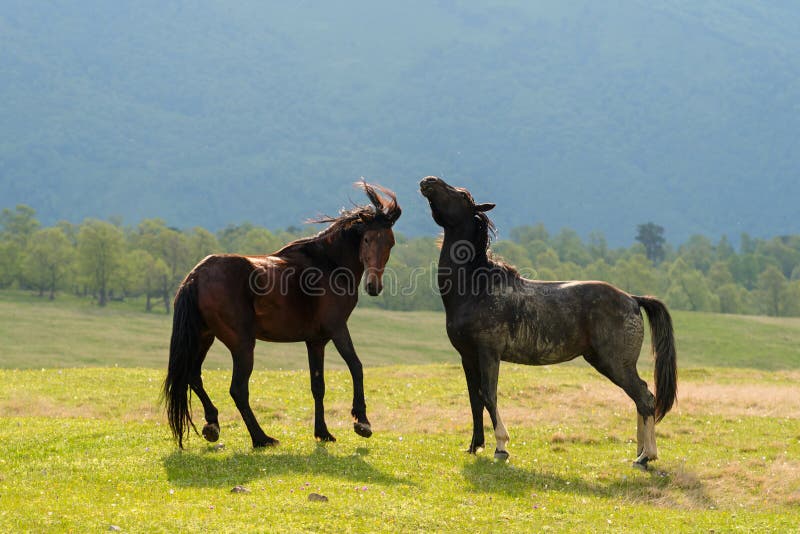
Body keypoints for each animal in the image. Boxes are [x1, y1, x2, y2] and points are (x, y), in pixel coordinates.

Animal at [163, 182, 401, 448]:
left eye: (390, 243)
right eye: (367, 239)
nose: (373, 286)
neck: (328, 265)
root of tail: (195, 276)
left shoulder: (316, 341)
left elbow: (318, 385)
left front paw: (323, 432)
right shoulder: (338, 328)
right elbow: (356, 366)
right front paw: (362, 422)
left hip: (204, 337)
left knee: (194, 376)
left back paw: (213, 424)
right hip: (242, 345)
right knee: (237, 390)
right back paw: (261, 438)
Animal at [419, 176, 676, 469]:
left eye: (462, 196)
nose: (428, 181)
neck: (476, 288)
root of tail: (633, 299)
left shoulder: (488, 354)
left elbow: (489, 395)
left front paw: (501, 447)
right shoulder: (468, 357)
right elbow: (475, 399)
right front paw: (474, 447)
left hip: (616, 364)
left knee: (645, 398)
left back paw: (646, 456)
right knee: (640, 400)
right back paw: (639, 453)